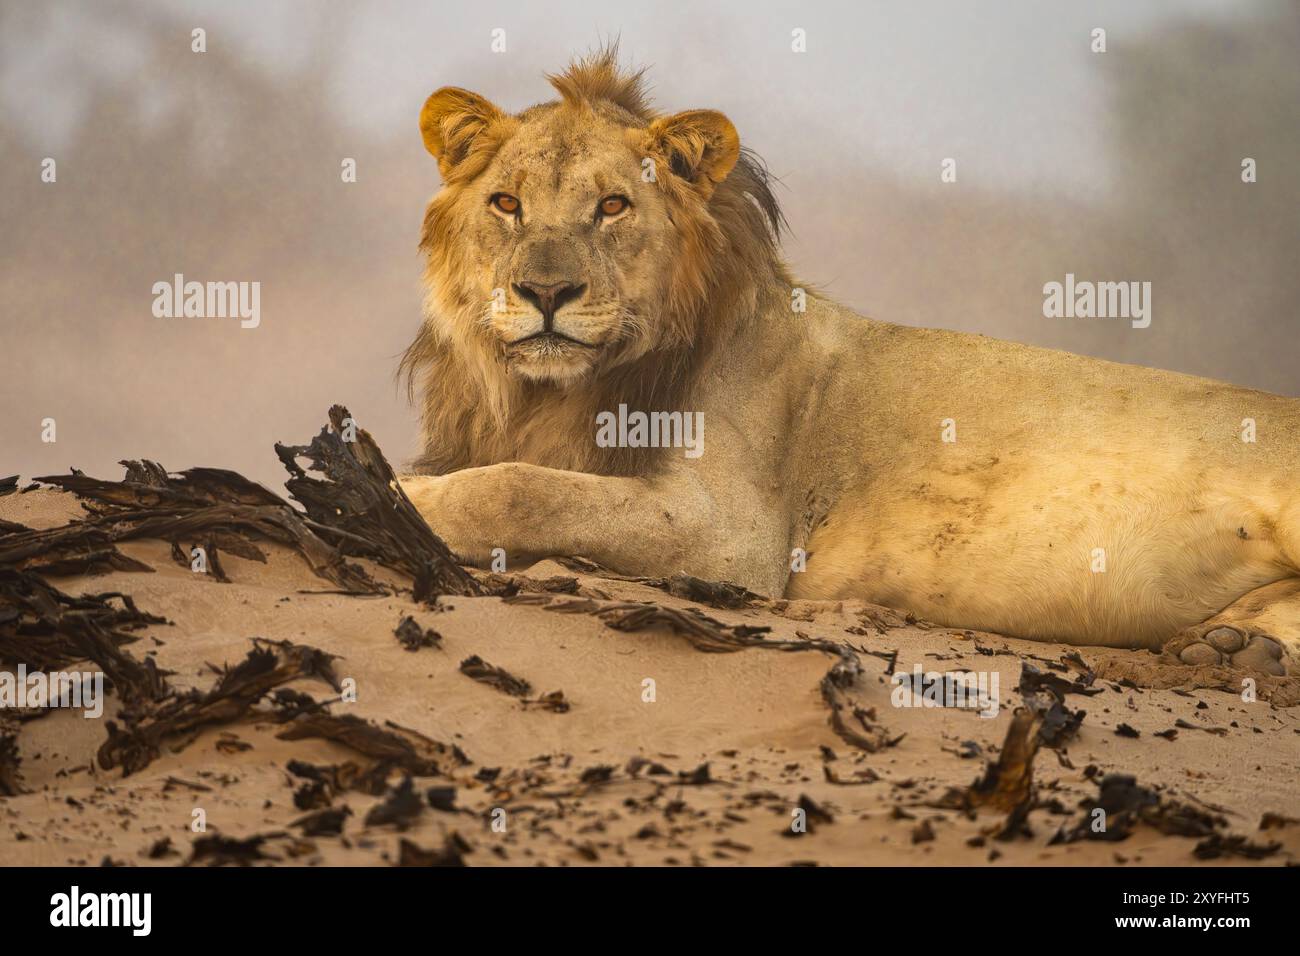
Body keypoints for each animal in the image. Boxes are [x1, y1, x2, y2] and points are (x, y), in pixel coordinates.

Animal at [398, 48, 1300, 677]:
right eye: (506, 203)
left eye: (613, 206)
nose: (545, 290)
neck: (541, 392)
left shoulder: (732, 534)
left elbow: (521, 488)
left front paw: (411, 498)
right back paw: (1234, 649)